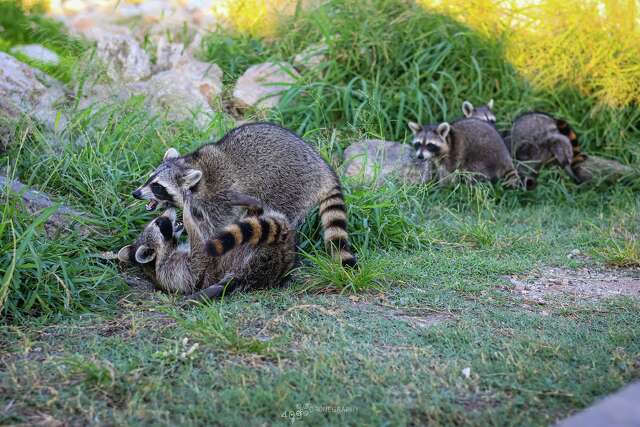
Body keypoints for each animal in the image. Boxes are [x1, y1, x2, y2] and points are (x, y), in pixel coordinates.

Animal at [132, 122, 356, 267]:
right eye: (149, 179)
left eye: (158, 187)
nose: (135, 193)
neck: (192, 165)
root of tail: (323, 170)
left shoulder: (218, 198)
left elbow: (213, 229)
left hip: (290, 188)